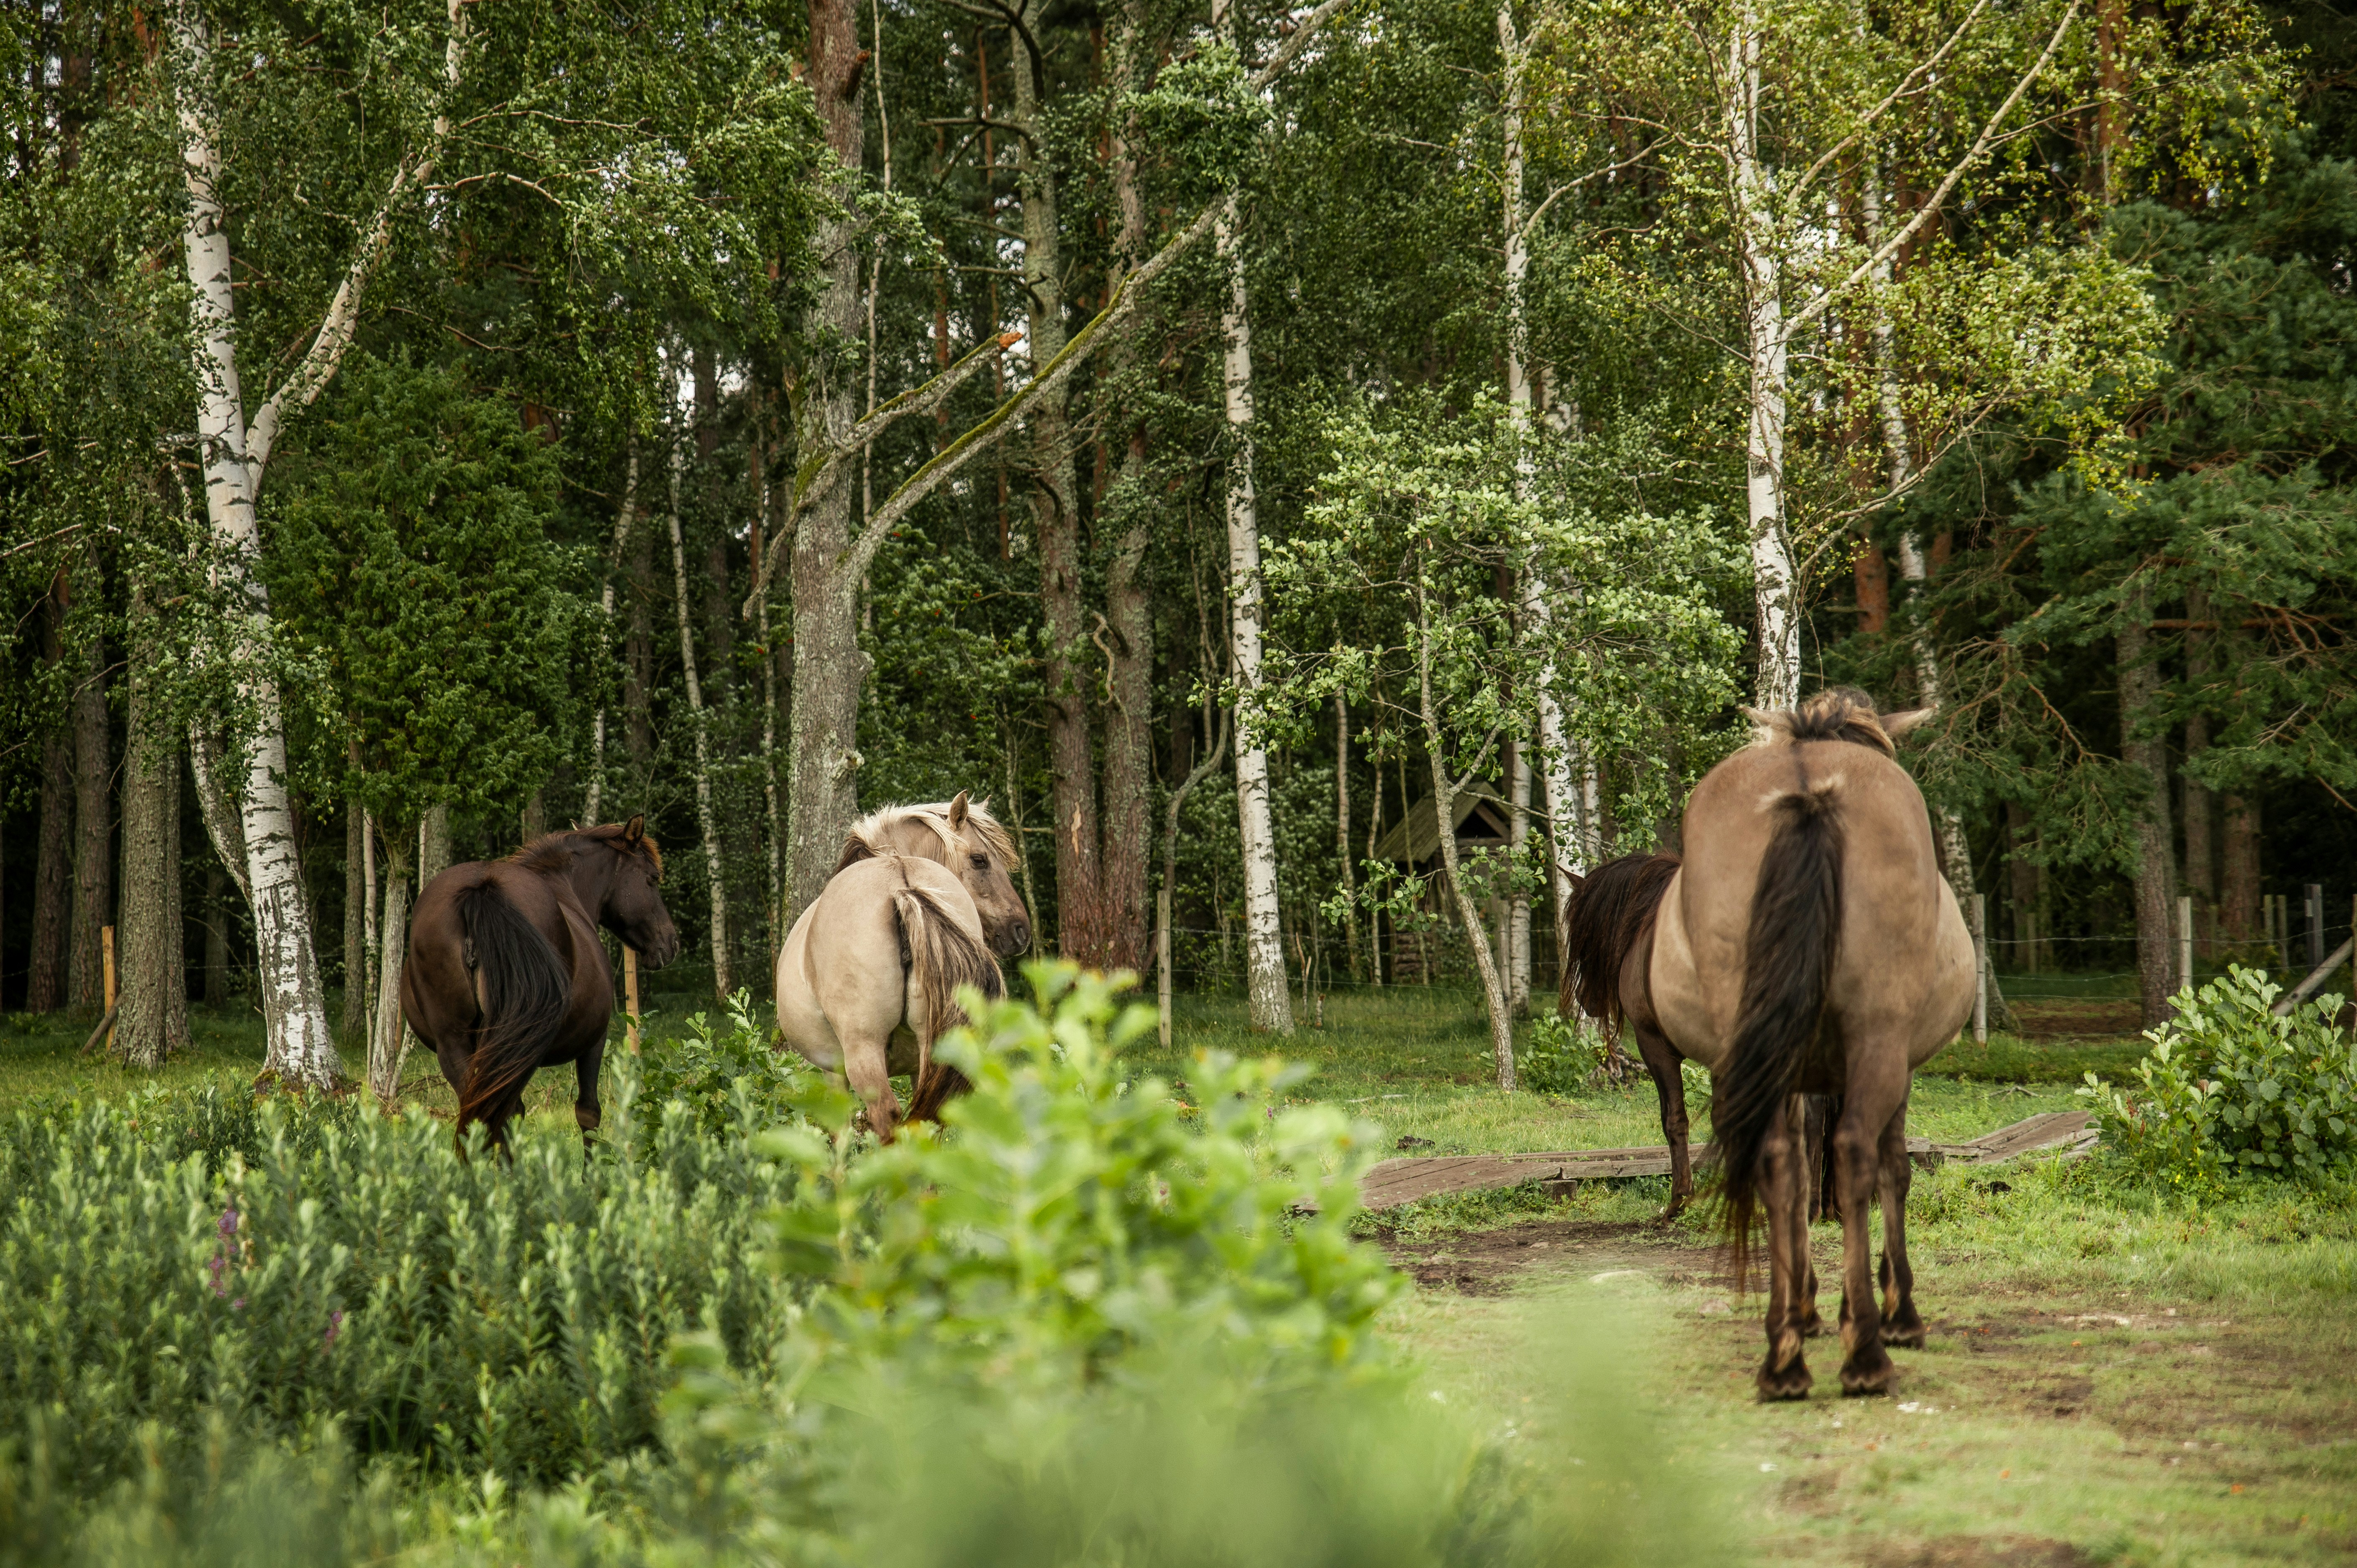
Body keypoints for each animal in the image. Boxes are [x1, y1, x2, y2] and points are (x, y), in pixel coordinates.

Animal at [401, 817, 680, 1152]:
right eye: (653, 878)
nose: (672, 943)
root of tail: (481, 889)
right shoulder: (595, 1040)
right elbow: (588, 1113)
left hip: (457, 1045)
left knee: (483, 1117)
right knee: (506, 1112)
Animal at [775, 793, 1032, 1140]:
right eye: (980, 859)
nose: (1020, 931)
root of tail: (900, 883)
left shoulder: (833, 1069)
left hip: (863, 1049)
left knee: (886, 1114)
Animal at [1559, 689, 1974, 1399]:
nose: (1586, 1002)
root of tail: (1808, 788)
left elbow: (1780, 1156)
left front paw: (1806, 1301)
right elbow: (1886, 1169)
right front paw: (1891, 1310)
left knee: (1781, 1160)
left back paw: (1787, 1354)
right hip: (1875, 1040)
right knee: (1853, 1152)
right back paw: (1864, 1353)